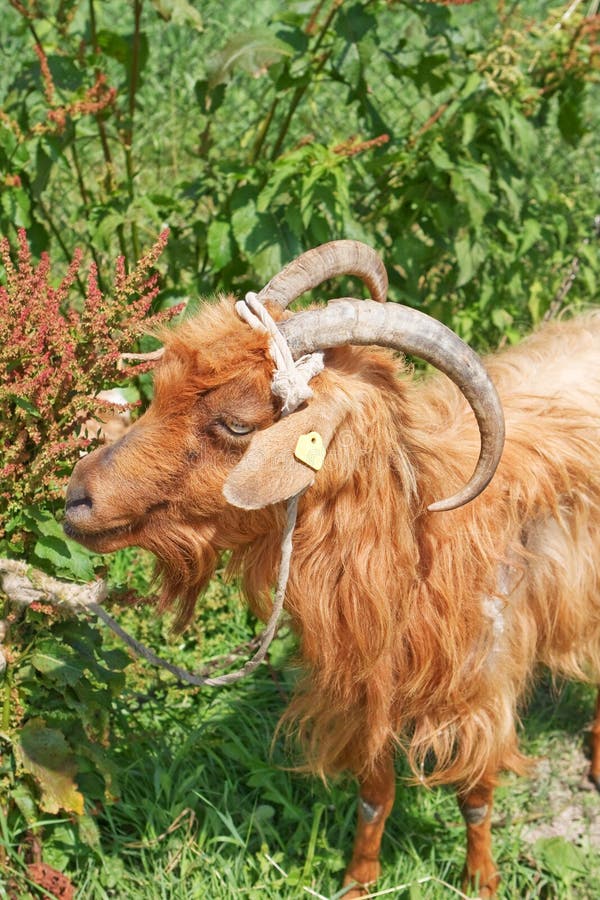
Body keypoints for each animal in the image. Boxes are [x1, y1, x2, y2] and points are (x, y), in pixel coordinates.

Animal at [64, 241, 600, 897]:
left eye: (238, 425)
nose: (76, 498)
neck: (419, 540)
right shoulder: (370, 692)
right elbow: (375, 795)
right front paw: (358, 880)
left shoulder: (484, 683)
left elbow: (476, 796)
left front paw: (482, 881)